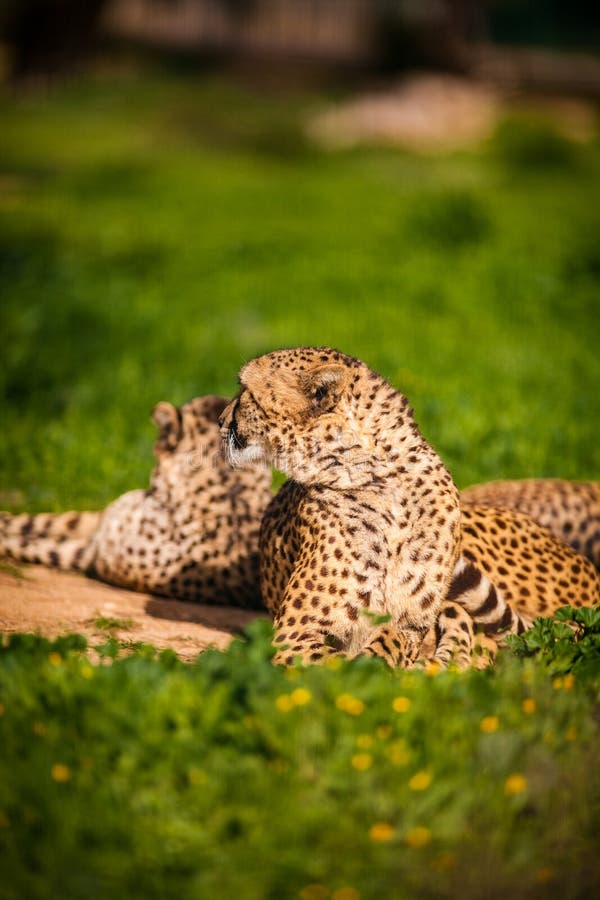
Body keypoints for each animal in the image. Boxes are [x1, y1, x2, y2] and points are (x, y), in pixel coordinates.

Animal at [219, 346, 600, 668]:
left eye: (245, 392)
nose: (221, 421)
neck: (378, 476)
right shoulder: (294, 635)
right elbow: (344, 664)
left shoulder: (413, 619)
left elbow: (394, 639)